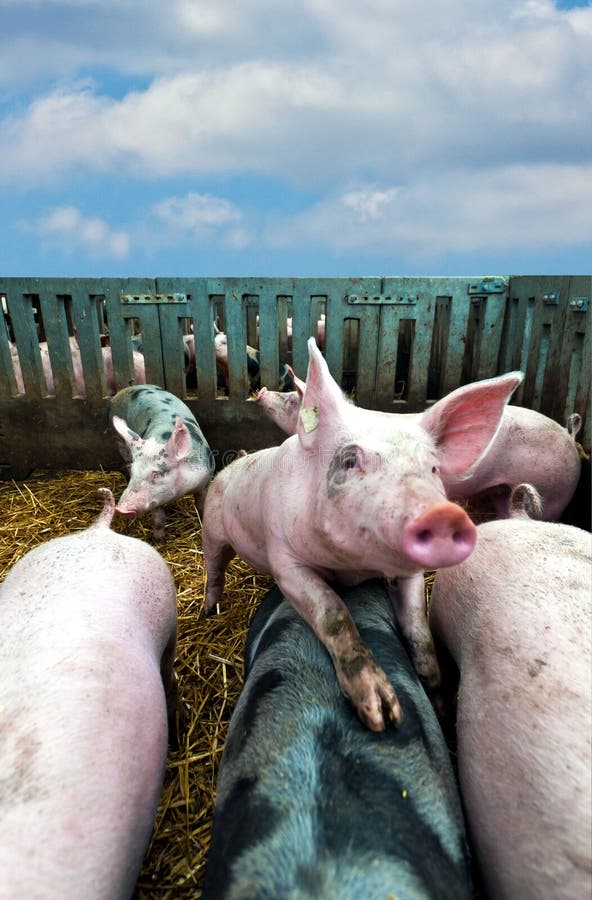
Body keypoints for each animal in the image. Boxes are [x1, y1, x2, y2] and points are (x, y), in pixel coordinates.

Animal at [109, 384, 214, 542]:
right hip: (118, 441)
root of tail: (128, 388)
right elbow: (158, 518)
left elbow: (202, 507)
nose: (120, 509)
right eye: (134, 472)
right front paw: (160, 541)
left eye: (157, 474)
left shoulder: (205, 481)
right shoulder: (153, 498)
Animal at [202, 337, 522, 731]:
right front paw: (381, 715)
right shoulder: (285, 561)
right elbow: (333, 614)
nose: (444, 514)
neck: (352, 566)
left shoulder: (409, 574)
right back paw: (207, 612)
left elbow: (420, 634)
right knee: (214, 568)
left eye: (432, 468)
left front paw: (440, 709)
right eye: (350, 460)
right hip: (211, 528)